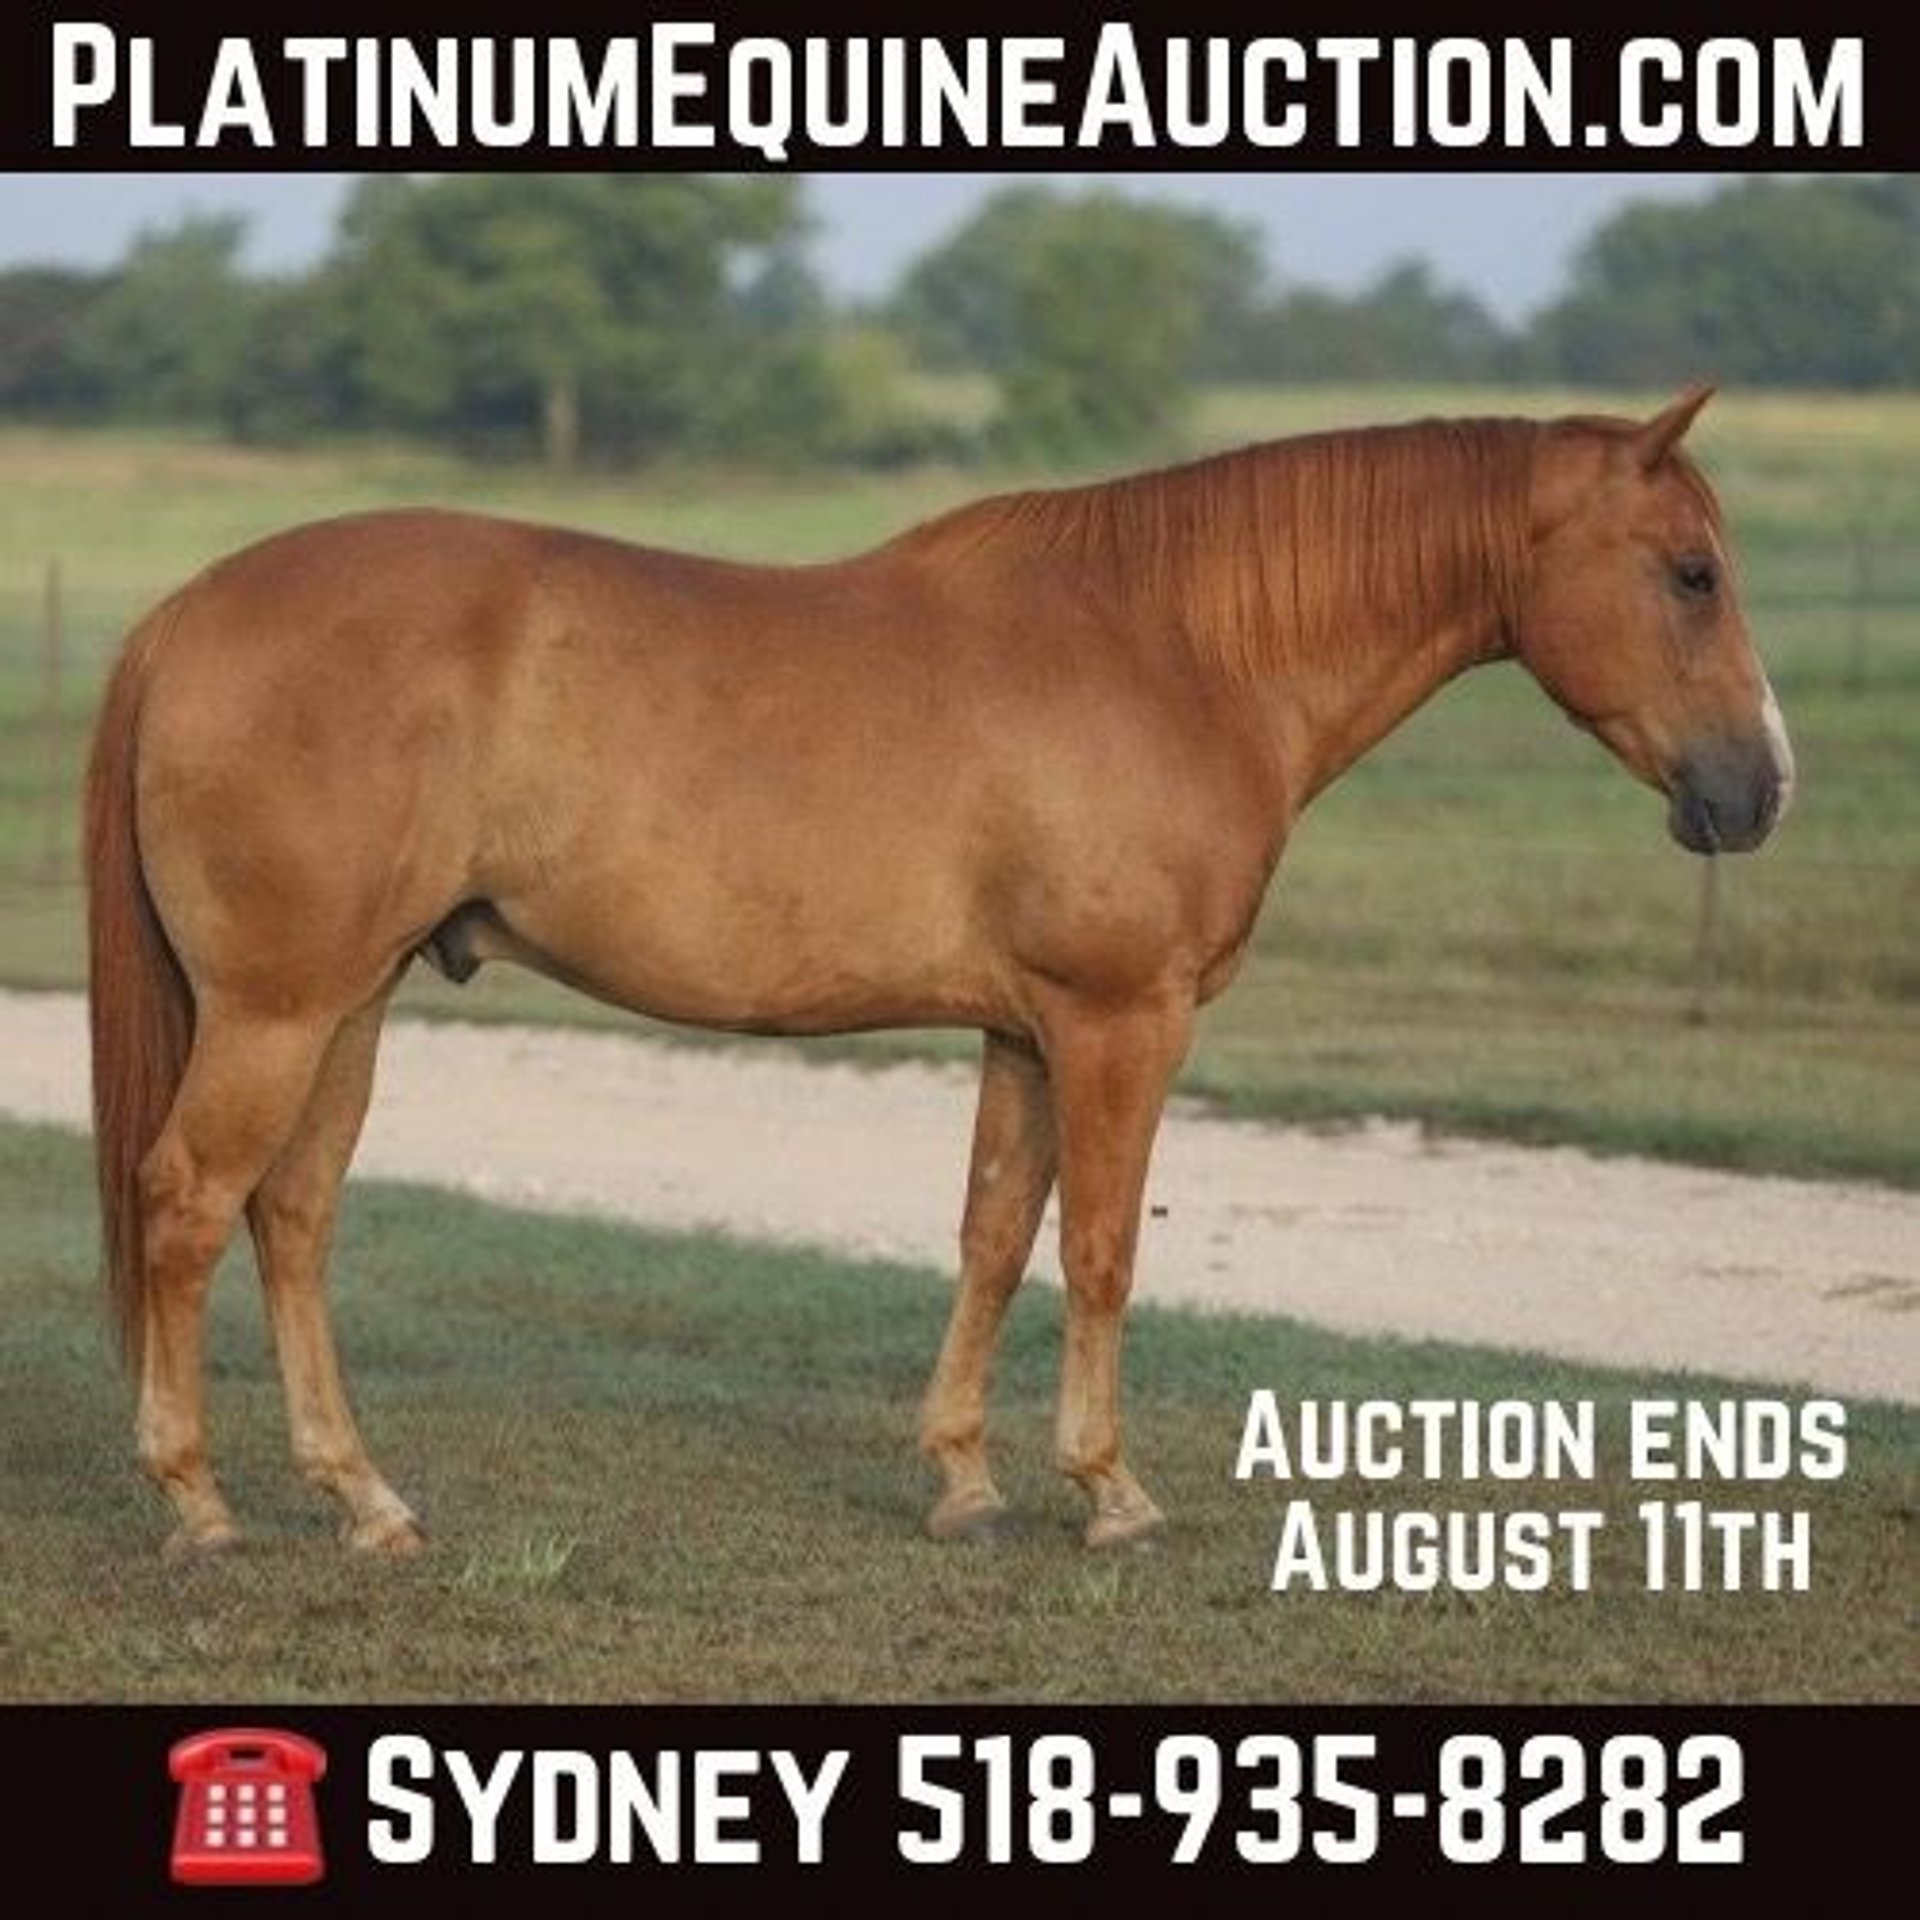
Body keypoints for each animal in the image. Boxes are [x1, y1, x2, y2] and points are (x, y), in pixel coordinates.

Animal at [85, 386, 1793, 1560]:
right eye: (1691, 573)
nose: (1760, 789)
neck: (1179, 648)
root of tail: (184, 613)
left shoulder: (1028, 1034)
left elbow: (992, 1235)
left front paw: (967, 1482)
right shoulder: (1121, 1022)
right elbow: (1099, 1250)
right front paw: (1110, 1493)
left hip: (351, 1002)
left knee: (292, 1218)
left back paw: (363, 1498)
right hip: (281, 1011)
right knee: (186, 1203)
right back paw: (198, 1503)